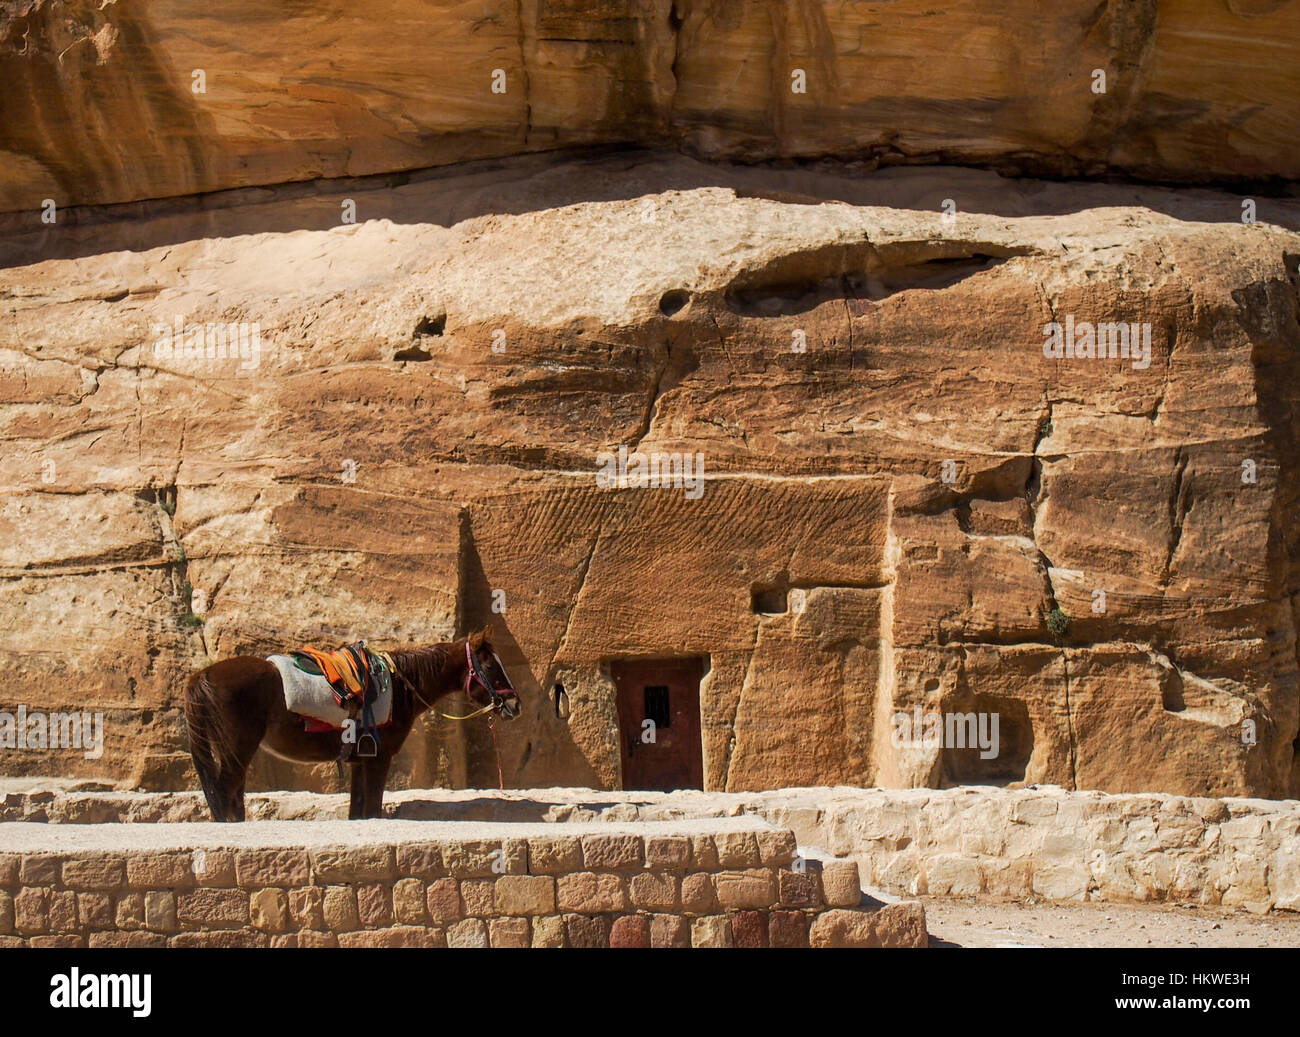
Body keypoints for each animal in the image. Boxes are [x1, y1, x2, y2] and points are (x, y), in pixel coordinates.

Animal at [182, 627, 521, 821]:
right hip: (238, 749)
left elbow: (358, 811)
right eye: (491, 667)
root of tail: (203, 675)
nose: (515, 705)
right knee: (224, 792)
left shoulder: (361, 761)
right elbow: (372, 808)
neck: (400, 687)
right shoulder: (380, 759)